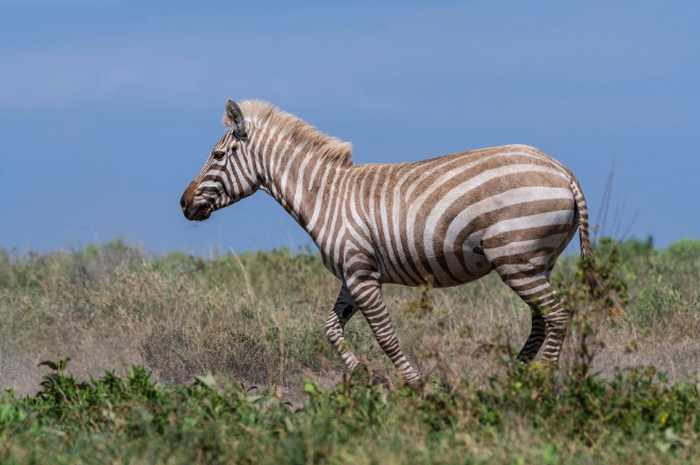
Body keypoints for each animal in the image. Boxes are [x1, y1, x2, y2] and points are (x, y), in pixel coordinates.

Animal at [180, 98, 624, 389]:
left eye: (217, 156)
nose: (184, 204)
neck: (325, 196)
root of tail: (561, 169)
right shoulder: (352, 273)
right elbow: (331, 329)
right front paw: (366, 375)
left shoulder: (361, 274)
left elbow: (385, 335)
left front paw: (413, 384)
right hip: (533, 261)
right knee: (542, 319)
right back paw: (514, 375)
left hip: (516, 258)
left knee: (558, 316)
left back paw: (541, 381)